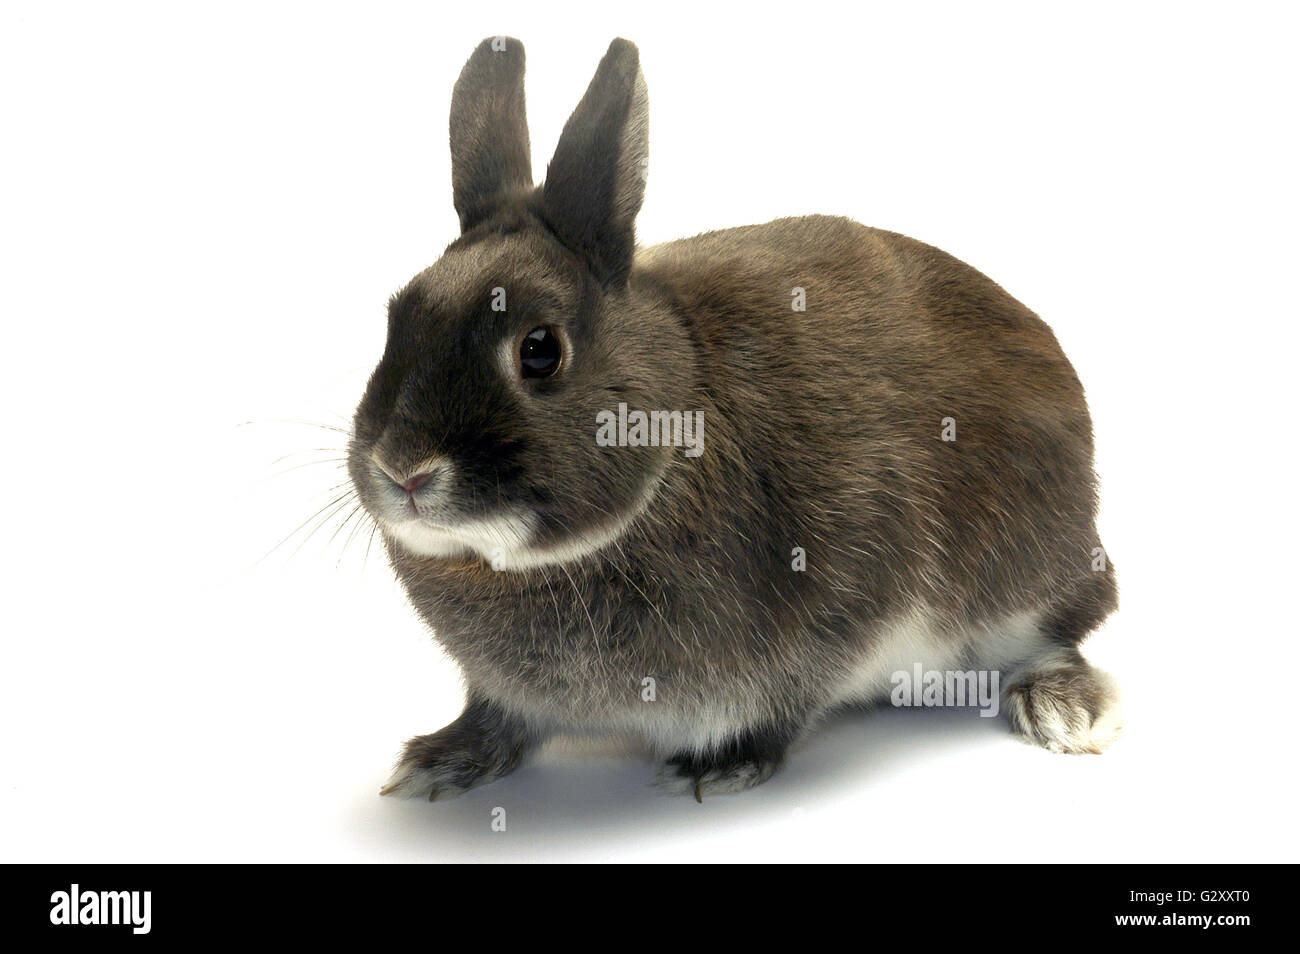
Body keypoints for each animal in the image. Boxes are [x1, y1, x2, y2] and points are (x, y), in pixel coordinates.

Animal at [347, 36, 1120, 802]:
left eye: (539, 350)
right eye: (396, 318)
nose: (404, 470)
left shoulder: (843, 600)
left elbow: (787, 702)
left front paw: (721, 764)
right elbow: (498, 718)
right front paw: (441, 760)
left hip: (1024, 575)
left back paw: (1064, 709)